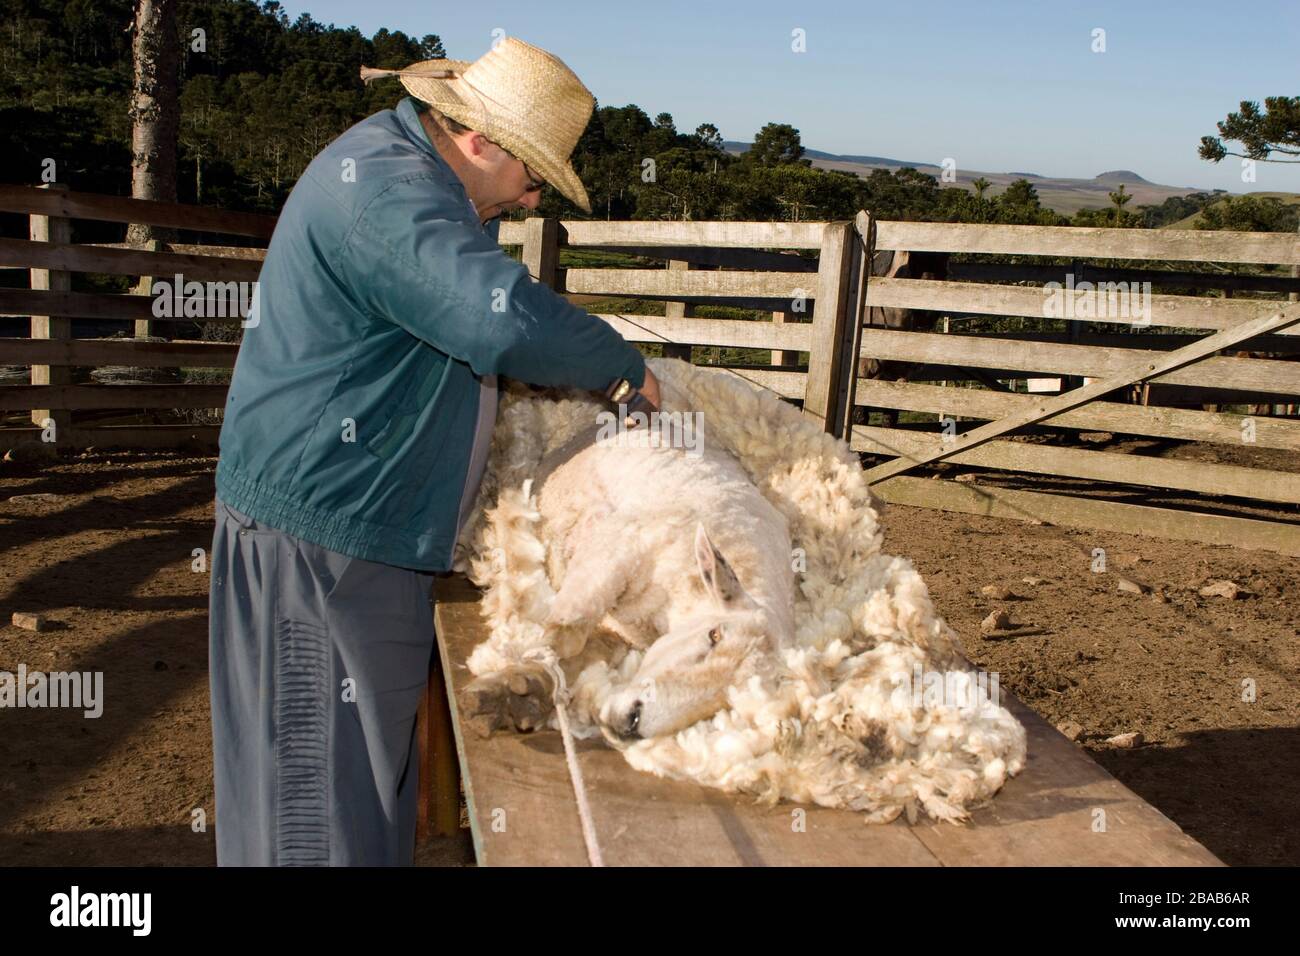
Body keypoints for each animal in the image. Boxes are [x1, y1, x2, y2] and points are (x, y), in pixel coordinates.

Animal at [455, 358, 1027, 823]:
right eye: (711, 636)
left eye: (726, 703)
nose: (633, 723)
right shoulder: (615, 553)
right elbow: (567, 629)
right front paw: (520, 675)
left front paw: (525, 693)